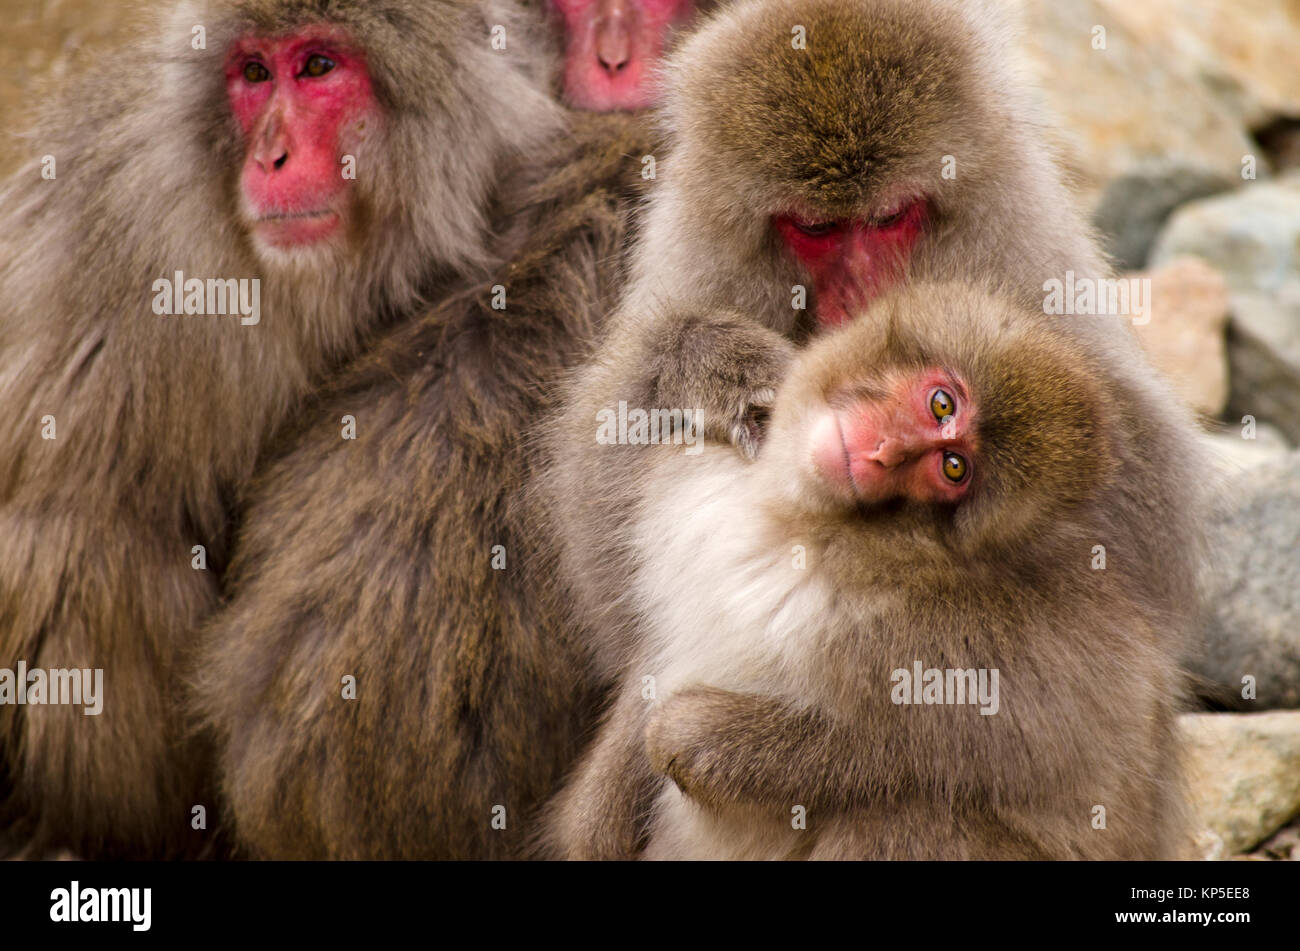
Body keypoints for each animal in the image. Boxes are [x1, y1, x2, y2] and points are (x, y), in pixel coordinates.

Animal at [541, 283, 1198, 860]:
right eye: (942, 403)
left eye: (953, 468)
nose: (885, 452)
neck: (791, 517)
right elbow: (650, 664)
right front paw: (601, 820)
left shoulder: (948, 639)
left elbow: (896, 756)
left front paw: (688, 735)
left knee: (911, 816)